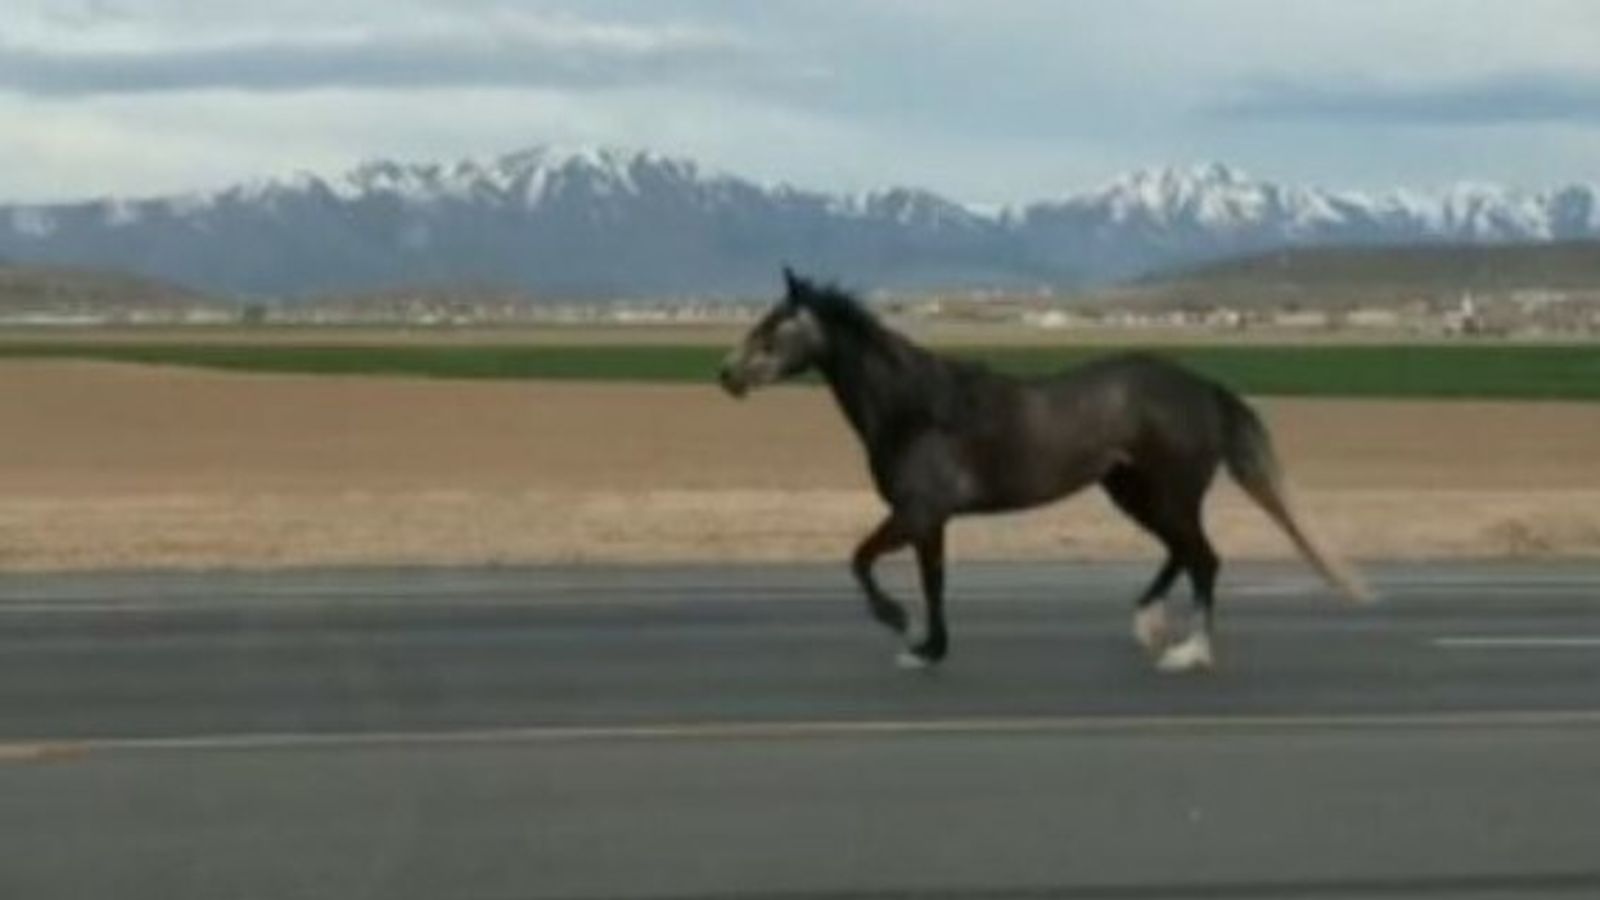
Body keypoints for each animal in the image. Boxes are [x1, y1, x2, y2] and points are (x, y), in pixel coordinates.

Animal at [719, 268, 1371, 673]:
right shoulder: (931, 521)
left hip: (1171, 493)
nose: (727, 374)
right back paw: (1147, 623)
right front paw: (930, 647)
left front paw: (899, 623)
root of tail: (1204, 389)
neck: (916, 408)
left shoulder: (915, 512)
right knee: (1182, 553)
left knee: (1204, 559)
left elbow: (860, 560)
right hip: (1132, 492)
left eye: (775, 327)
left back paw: (1189, 653)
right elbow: (934, 582)